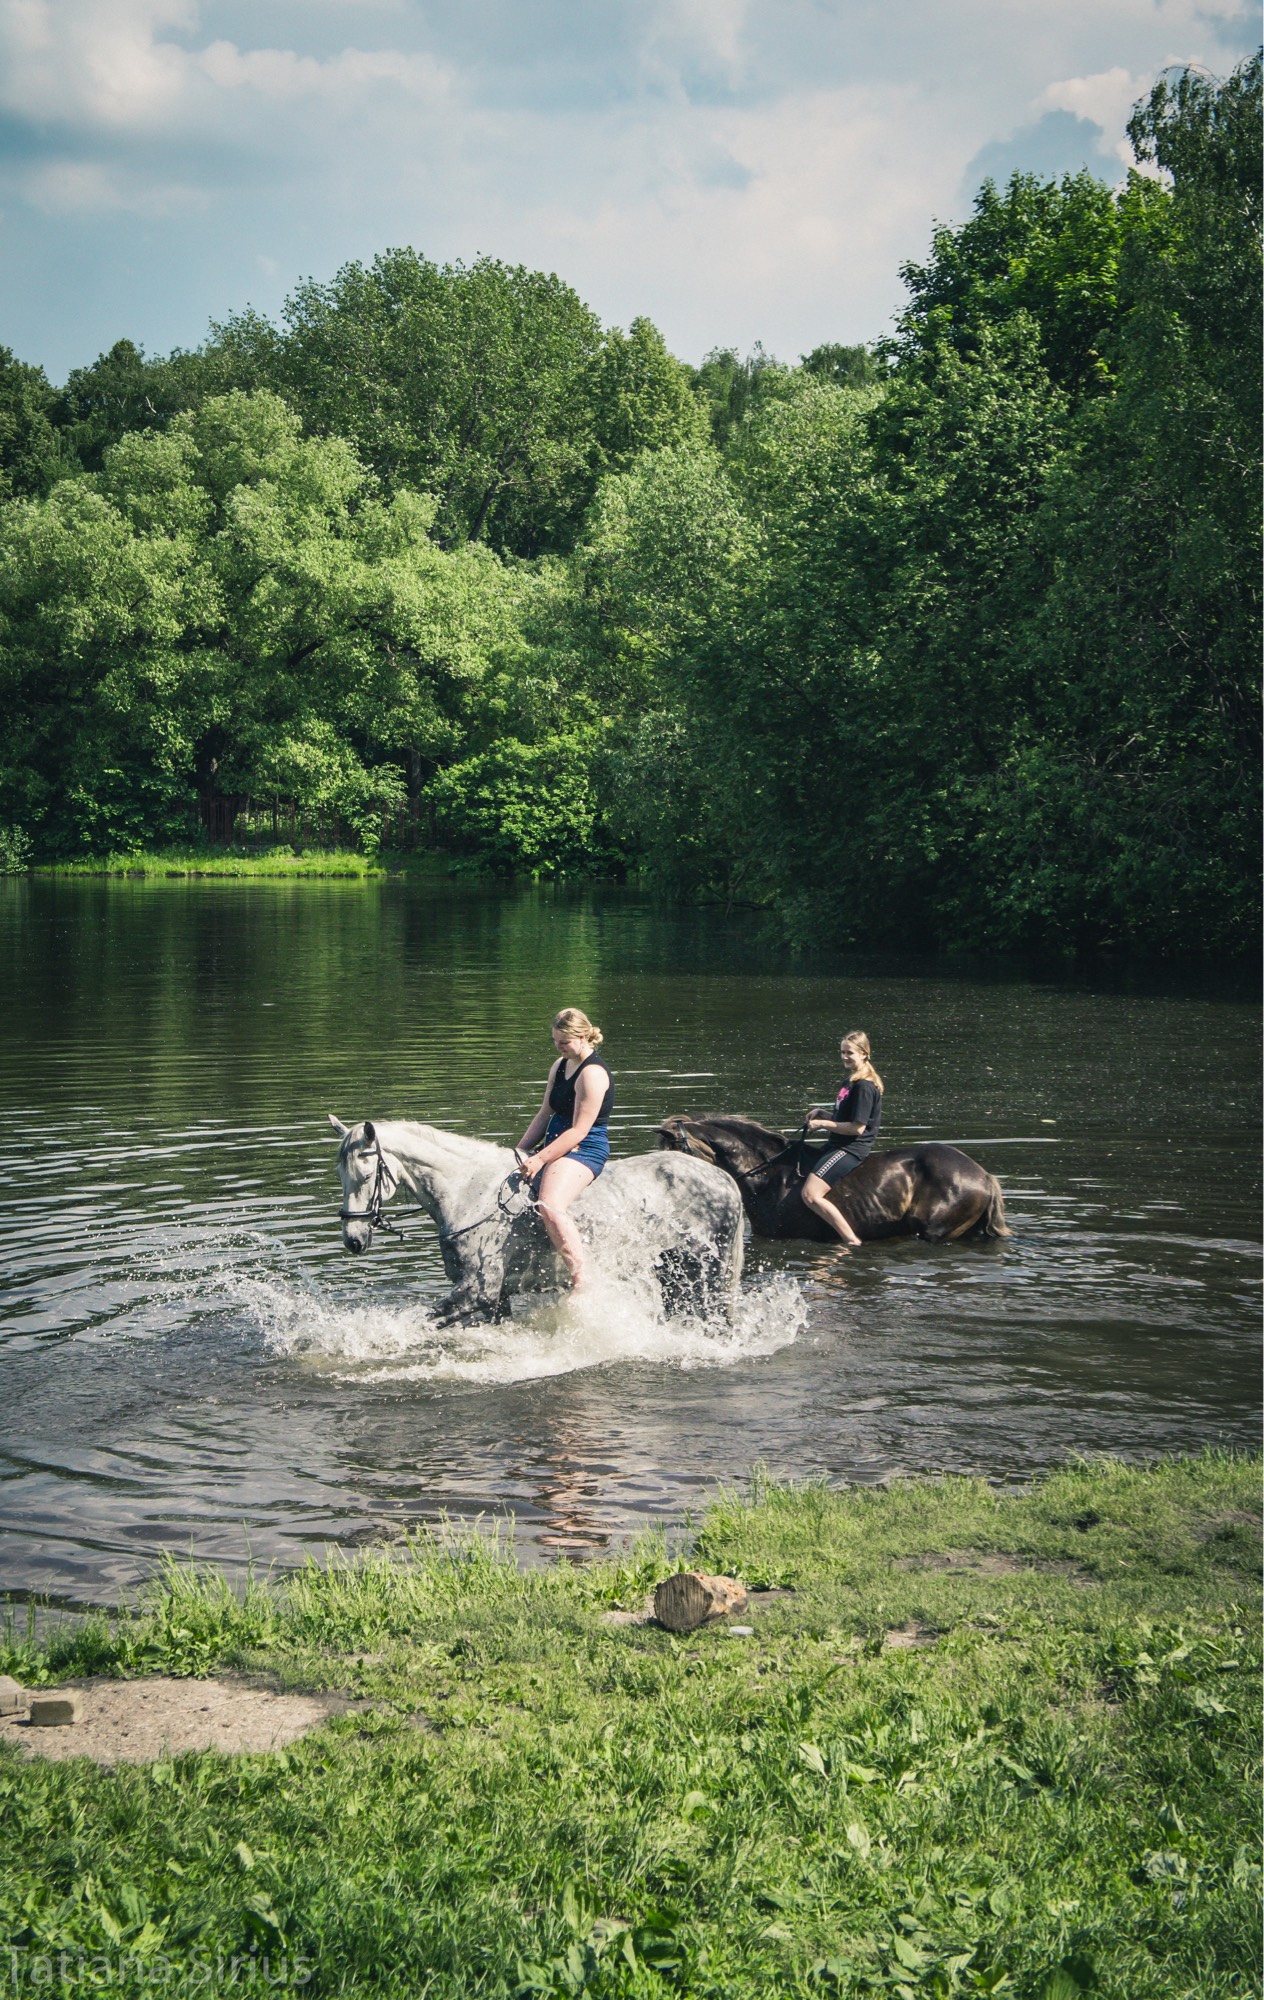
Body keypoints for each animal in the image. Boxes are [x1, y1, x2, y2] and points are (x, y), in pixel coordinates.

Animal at [326, 1120, 744, 1320]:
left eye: (365, 1174)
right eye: (340, 1174)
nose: (353, 1238)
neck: (469, 1193)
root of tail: (723, 1180)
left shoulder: (478, 1291)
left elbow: (419, 1323)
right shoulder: (493, 1300)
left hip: (710, 1272)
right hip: (675, 1274)